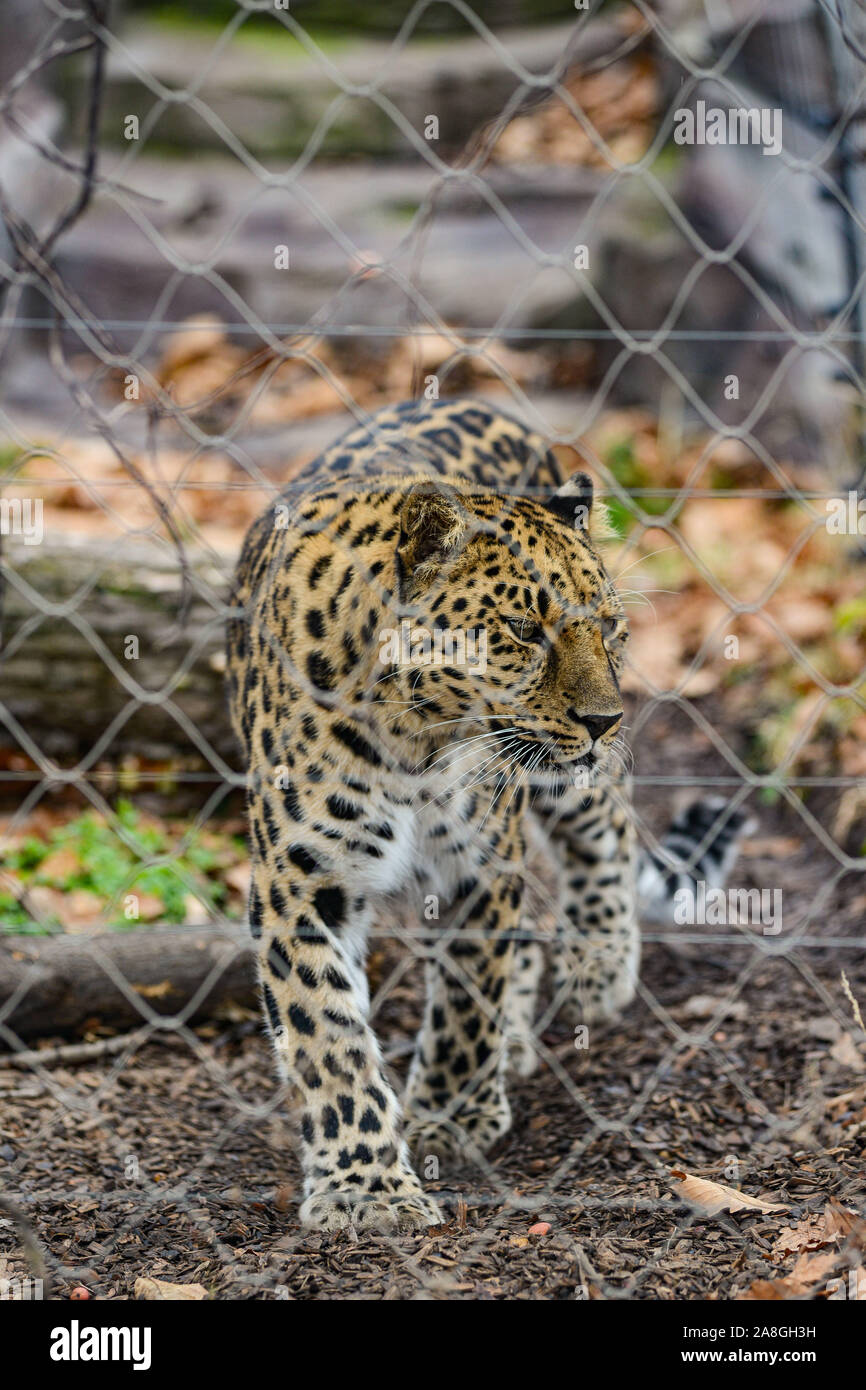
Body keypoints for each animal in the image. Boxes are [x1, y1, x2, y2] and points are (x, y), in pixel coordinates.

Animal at [227, 396, 750, 1233]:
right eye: (524, 630)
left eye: (609, 628)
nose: (605, 720)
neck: (411, 732)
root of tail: (472, 400)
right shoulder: (299, 881)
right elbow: (328, 1034)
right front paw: (365, 1186)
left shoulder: (482, 856)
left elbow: (470, 994)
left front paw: (450, 1116)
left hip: (567, 792)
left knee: (602, 834)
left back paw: (598, 966)